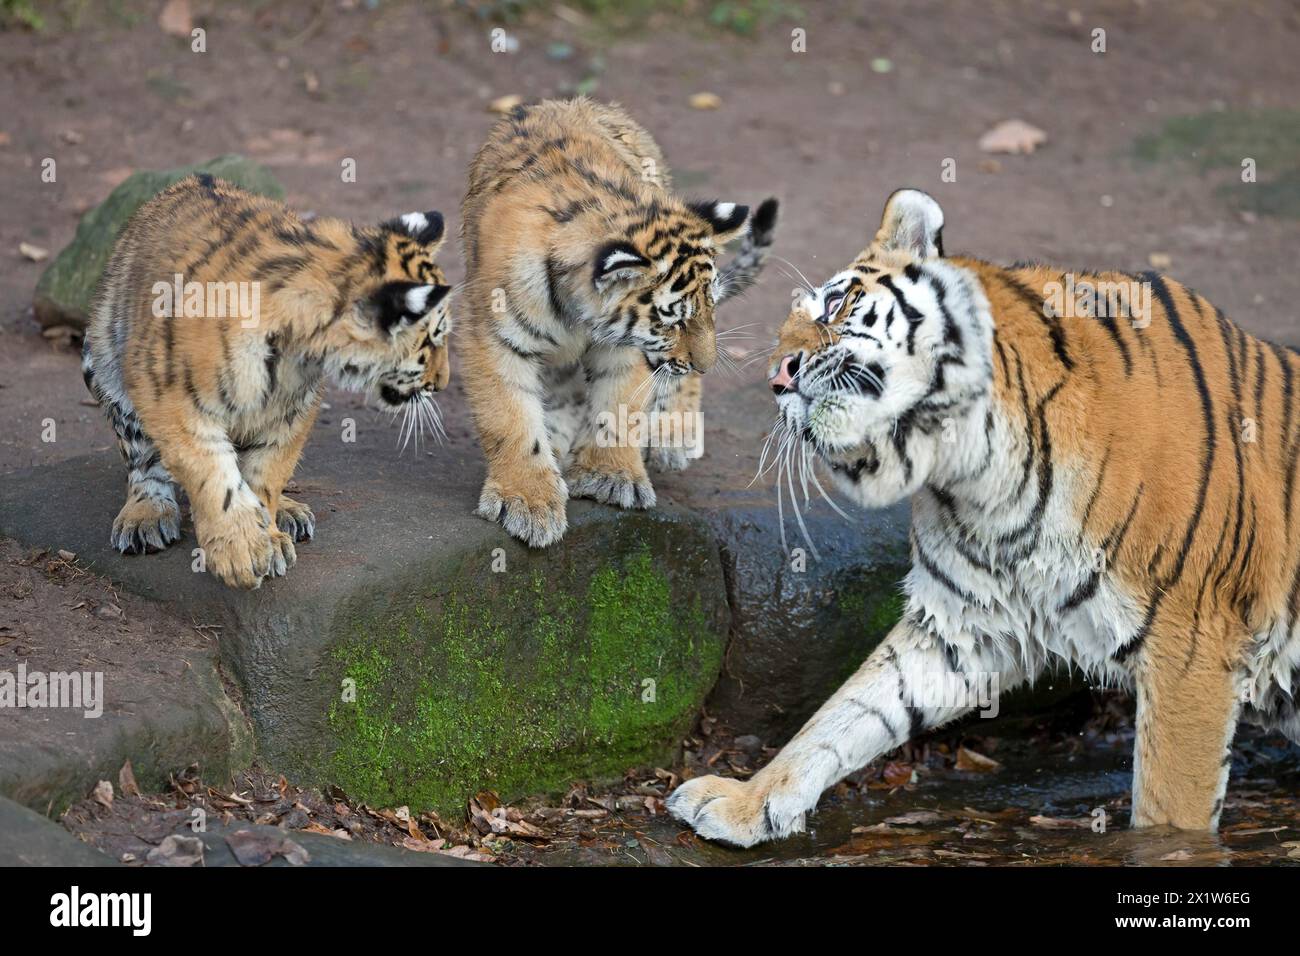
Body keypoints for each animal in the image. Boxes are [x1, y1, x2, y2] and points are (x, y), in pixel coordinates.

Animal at [81, 174, 453, 589]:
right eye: (433, 338)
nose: (443, 382)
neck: (296, 351)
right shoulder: (172, 397)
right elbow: (212, 474)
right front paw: (241, 552)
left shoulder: (294, 409)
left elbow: (267, 473)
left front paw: (267, 539)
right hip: (103, 360)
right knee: (142, 459)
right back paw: (145, 517)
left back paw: (290, 513)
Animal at [460, 97, 779, 548]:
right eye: (673, 320)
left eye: (708, 307)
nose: (706, 363)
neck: (578, 313)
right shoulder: (494, 337)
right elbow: (510, 419)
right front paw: (526, 500)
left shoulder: (628, 345)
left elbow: (620, 406)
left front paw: (610, 476)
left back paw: (673, 435)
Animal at [669, 187, 1300, 846]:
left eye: (837, 303)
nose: (776, 379)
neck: (978, 472)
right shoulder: (963, 624)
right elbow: (848, 712)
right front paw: (746, 802)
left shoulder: (1191, 648)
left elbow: (1168, 812)